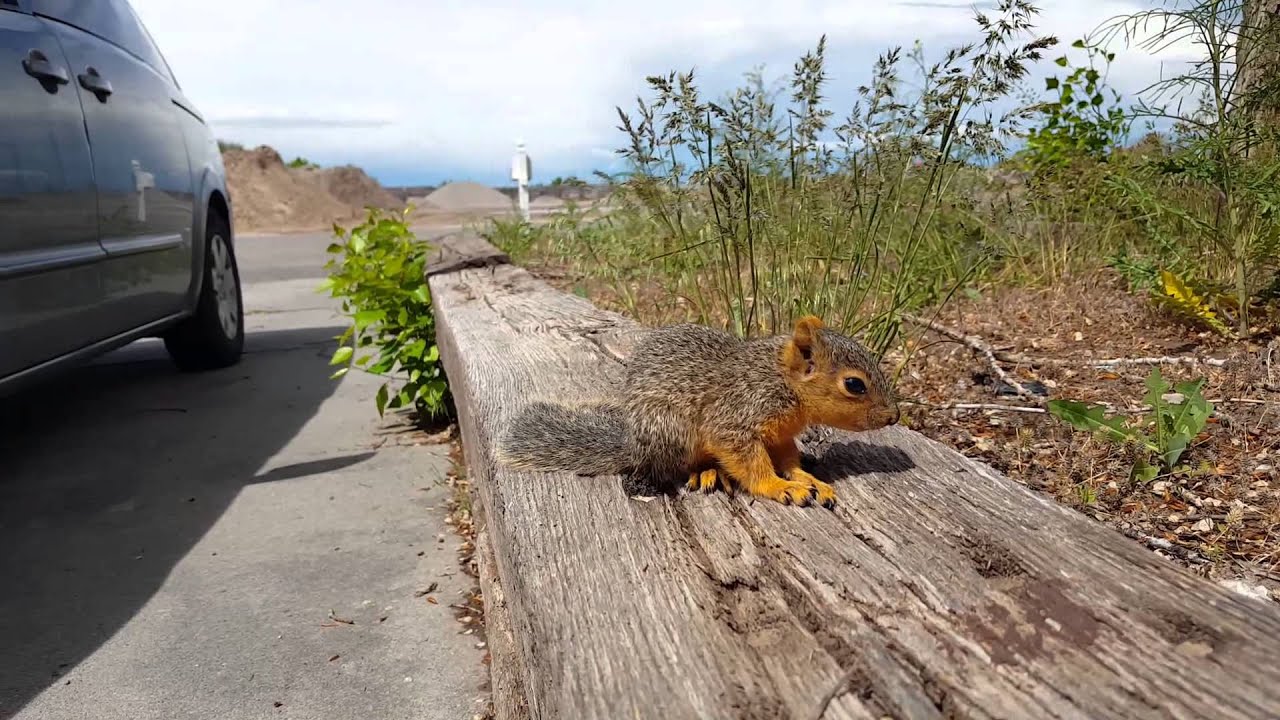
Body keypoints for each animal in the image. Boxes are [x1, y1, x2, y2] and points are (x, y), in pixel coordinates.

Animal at [495, 315, 900, 508]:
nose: (894, 417)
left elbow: (788, 459)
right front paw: (778, 487)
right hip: (670, 430)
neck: (783, 382)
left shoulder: (781, 434)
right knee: (672, 468)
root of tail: (632, 443)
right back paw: (706, 471)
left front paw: (807, 479)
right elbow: (753, 465)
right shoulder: (736, 418)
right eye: (854, 384)